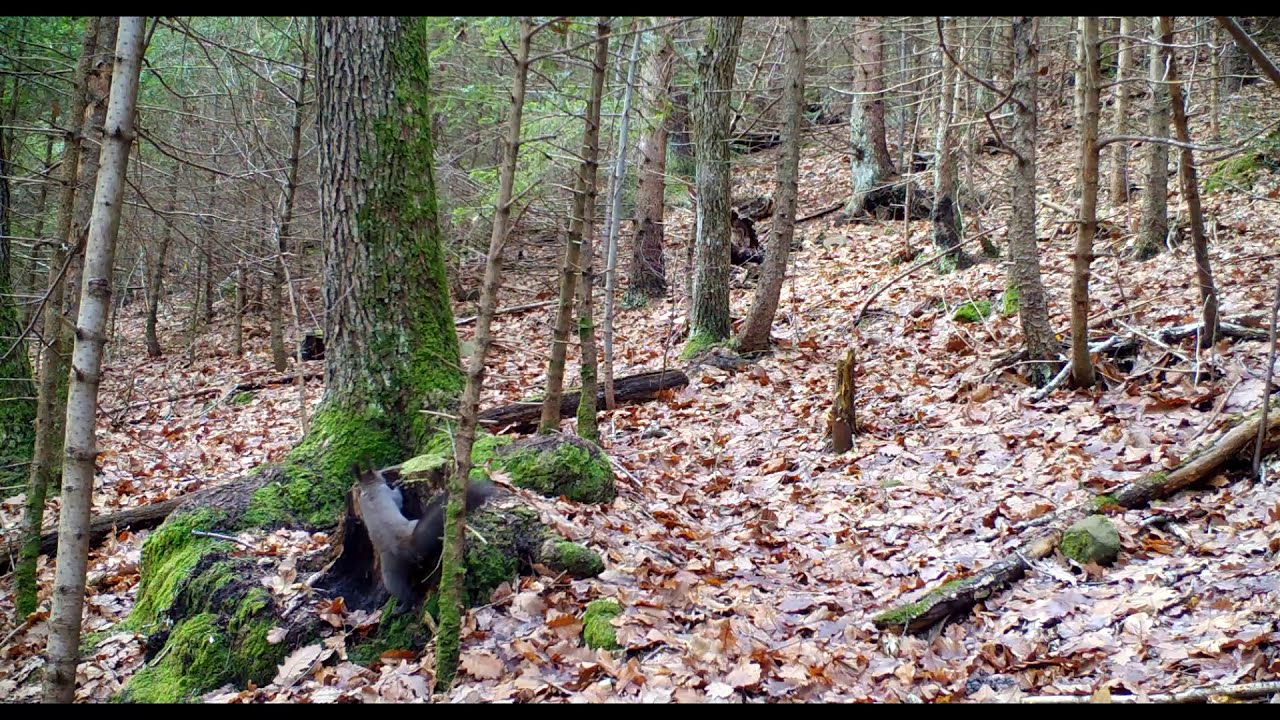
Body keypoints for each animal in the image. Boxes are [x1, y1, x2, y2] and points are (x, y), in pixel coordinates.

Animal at [352, 463, 496, 609]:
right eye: (377, 472)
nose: (384, 475)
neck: (370, 488)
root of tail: (406, 545)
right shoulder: (386, 494)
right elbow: (398, 499)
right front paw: (399, 485)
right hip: (391, 570)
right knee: (405, 594)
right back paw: (405, 606)